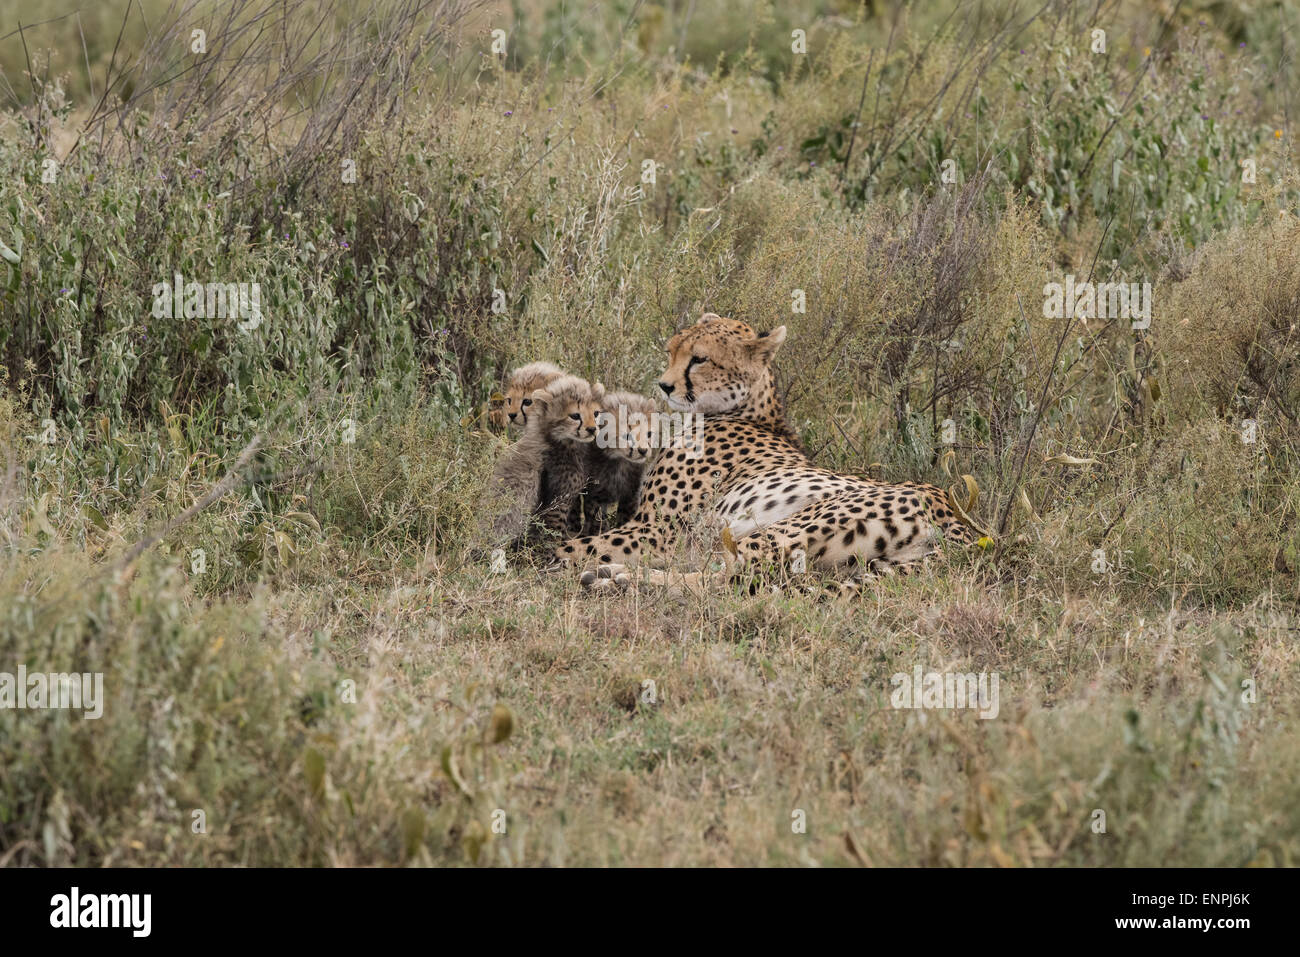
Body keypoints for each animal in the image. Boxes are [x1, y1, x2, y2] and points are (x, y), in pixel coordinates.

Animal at [552, 314, 974, 591]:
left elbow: (571, 547)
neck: (746, 409)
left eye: (699, 358)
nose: (665, 386)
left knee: (723, 580)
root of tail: (957, 515)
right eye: (672, 350)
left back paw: (623, 578)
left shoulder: (660, 530)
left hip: (782, 528)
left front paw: (544, 558)